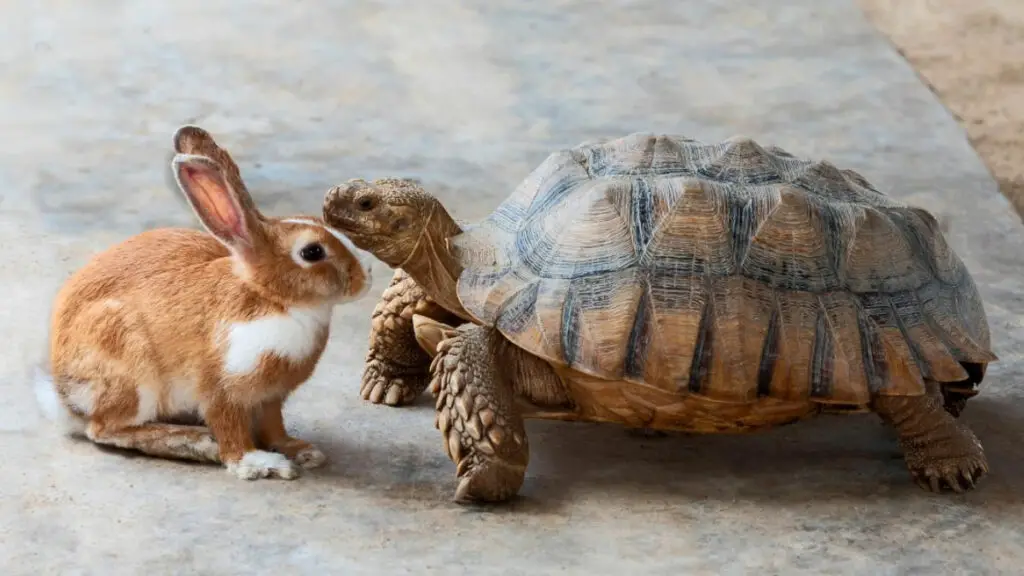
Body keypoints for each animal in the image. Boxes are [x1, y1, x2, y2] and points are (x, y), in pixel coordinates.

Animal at [37, 125, 373, 480]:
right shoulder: (220, 389)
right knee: (105, 429)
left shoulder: (271, 398)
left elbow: (274, 427)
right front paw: (258, 464)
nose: (366, 275)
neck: (273, 300)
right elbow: (231, 432)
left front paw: (301, 450)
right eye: (312, 252)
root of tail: (64, 398)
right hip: (130, 371)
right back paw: (195, 443)